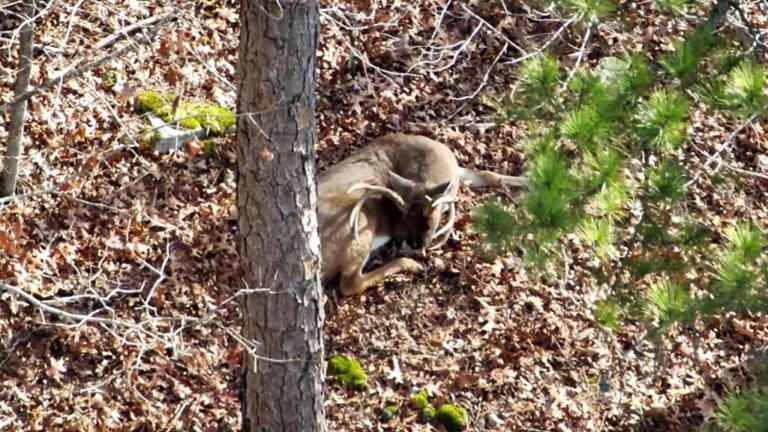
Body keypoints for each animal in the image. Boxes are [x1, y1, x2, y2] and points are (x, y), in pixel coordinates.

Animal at [318, 134, 526, 296]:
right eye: (405, 220)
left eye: (429, 221)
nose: (418, 245)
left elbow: (490, 175)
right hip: (360, 220)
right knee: (349, 283)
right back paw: (410, 264)